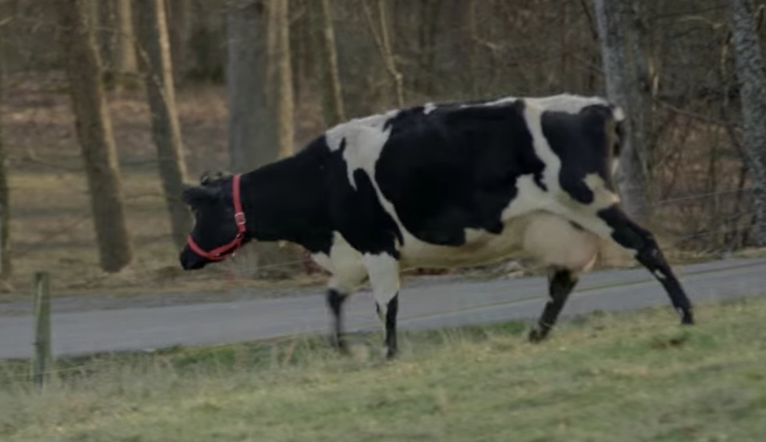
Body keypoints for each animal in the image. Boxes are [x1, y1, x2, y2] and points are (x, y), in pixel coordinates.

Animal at [178, 93, 694, 359]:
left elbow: (387, 306)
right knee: (564, 278)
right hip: (560, 224)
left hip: (593, 204)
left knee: (645, 244)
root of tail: (599, 105)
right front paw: (344, 348)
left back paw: (686, 315)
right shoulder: (351, 254)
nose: (184, 256)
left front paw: (387, 355)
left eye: (200, 213)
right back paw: (535, 334)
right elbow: (333, 297)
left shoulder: (377, 245)